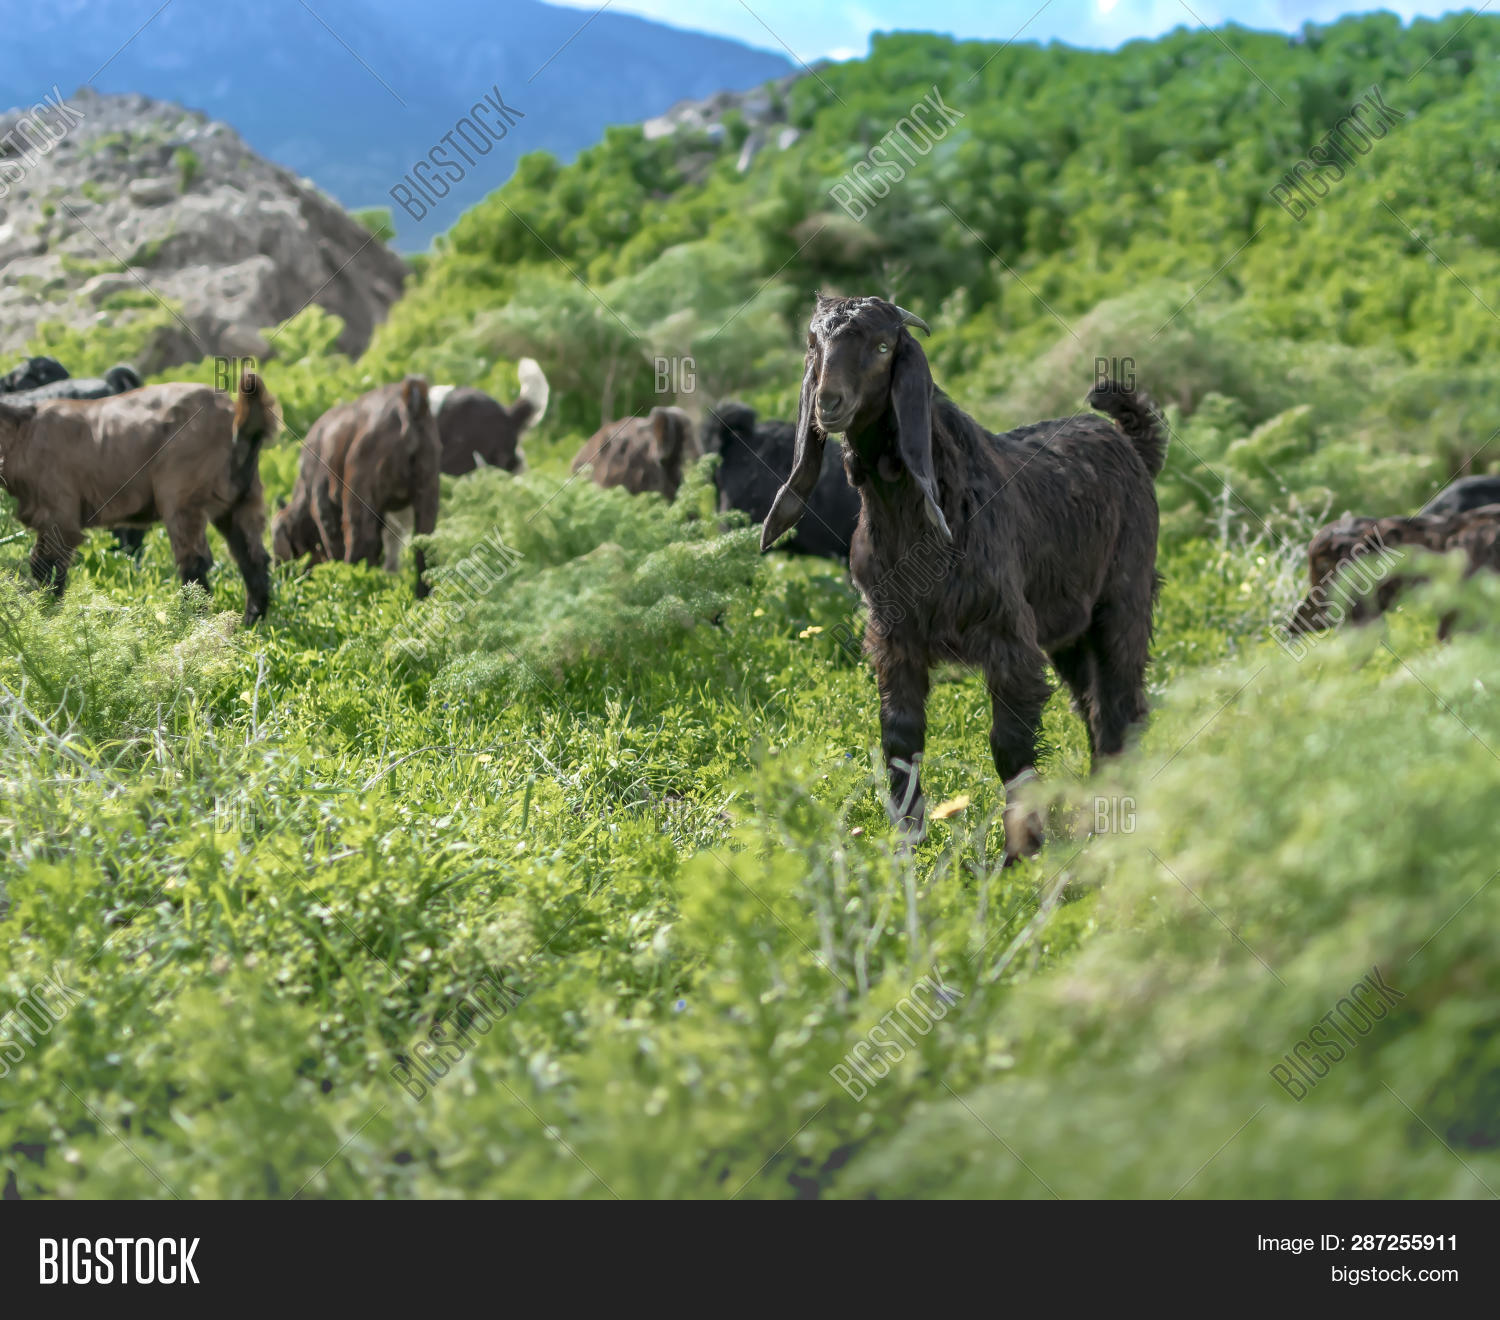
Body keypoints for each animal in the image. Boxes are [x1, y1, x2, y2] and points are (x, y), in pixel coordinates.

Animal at [0, 370, 277, 624]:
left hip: (181, 496)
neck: (23, 432)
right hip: (242, 500)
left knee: (195, 564)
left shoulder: (58, 513)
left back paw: (190, 622)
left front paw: (49, 615)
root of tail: (234, 418)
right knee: (253, 558)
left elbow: (47, 566)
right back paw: (251, 622)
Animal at [272, 377, 440, 598]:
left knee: (359, 540)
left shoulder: (323, 506)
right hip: (427, 491)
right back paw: (424, 594)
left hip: (357, 496)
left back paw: (349, 586)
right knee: (424, 543)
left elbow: (334, 543)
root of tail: (408, 402)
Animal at [761, 294, 1165, 862]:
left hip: (1124, 597)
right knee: (1094, 705)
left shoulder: (1008, 635)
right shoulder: (894, 635)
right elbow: (901, 740)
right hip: (1069, 626)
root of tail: (1132, 447)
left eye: (883, 347)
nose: (828, 403)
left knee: (1120, 705)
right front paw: (906, 852)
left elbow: (1009, 746)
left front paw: (1019, 857)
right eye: (814, 345)